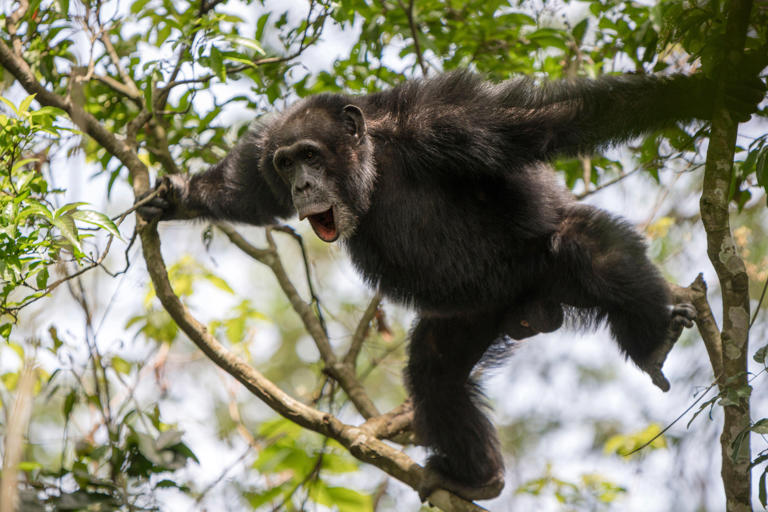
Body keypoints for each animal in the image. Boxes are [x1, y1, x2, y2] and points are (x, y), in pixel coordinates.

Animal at [139, 70, 764, 502]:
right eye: (288, 164)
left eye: (311, 156)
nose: (302, 185)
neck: (375, 157)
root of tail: (536, 309)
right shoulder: (262, 158)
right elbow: (245, 193)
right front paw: (177, 196)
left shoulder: (451, 122)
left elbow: (558, 120)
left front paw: (721, 84)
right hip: (476, 313)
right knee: (435, 374)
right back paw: (477, 477)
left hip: (552, 271)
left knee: (586, 242)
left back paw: (653, 339)